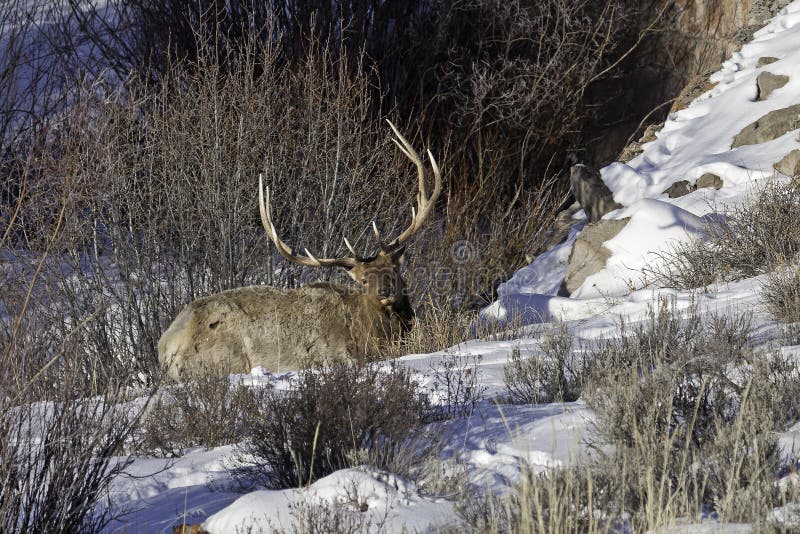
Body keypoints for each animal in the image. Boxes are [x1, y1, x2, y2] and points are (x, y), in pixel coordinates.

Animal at [158, 122, 441, 379]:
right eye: (363, 280)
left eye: (394, 270)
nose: (385, 291)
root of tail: (165, 345)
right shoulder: (332, 355)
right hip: (222, 359)